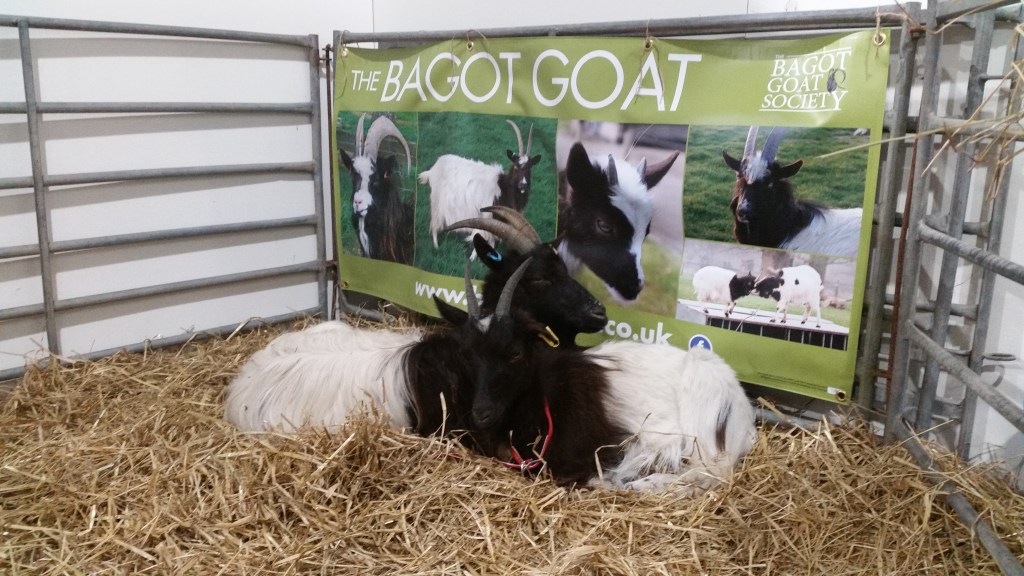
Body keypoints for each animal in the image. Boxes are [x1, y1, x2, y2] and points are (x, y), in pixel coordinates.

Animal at [420, 120, 541, 250]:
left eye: (530, 169)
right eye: (516, 167)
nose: (523, 186)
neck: (502, 187)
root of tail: (434, 167)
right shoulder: (487, 217)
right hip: (437, 200)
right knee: (435, 221)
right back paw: (436, 245)